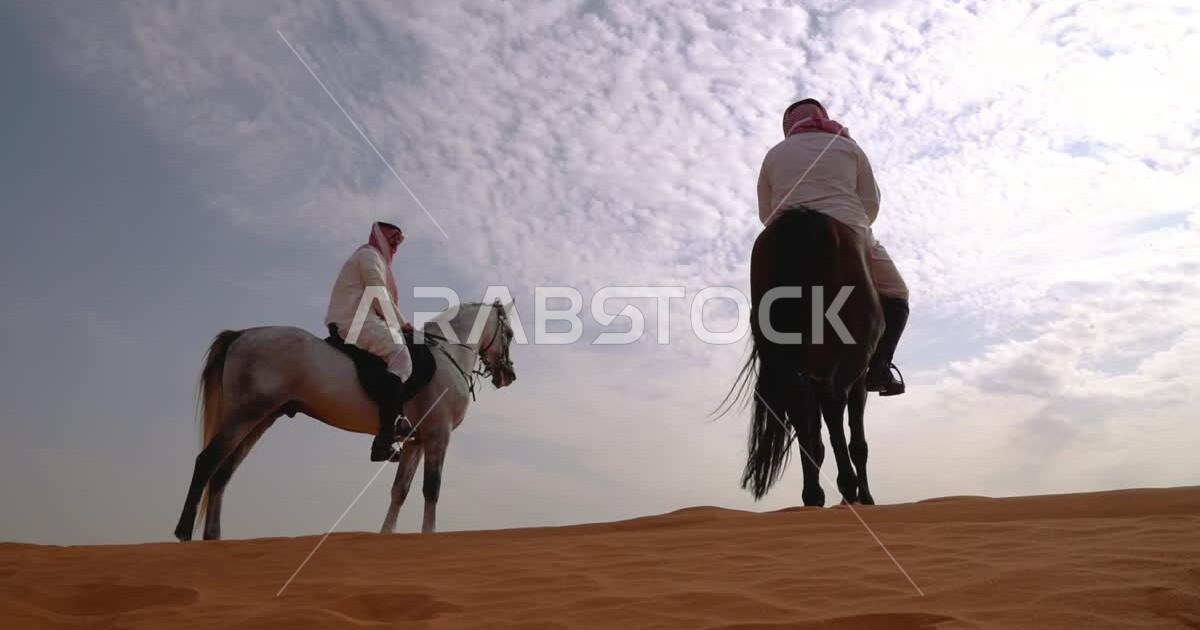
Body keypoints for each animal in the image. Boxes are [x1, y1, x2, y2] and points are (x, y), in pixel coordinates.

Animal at [173, 300, 517, 541]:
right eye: (510, 334)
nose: (508, 375)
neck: (448, 352)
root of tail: (243, 335)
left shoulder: (416, 441)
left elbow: (400, 490)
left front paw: (386, 536)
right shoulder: (438, 435)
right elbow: (431, 488)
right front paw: (429, 535)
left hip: (260, 419)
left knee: (223, 473)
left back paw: (214, 537)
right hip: (245, 415)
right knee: (207, 462)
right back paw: (184, 532)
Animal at [728, 210, 884, 507]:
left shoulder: (812, 376)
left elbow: (816, 440)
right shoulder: (859, 381)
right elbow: (858, 442)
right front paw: (866, 496)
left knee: (797, 405)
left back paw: (814, 494)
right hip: (855, 355)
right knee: (833, 399)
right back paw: (848, 487)